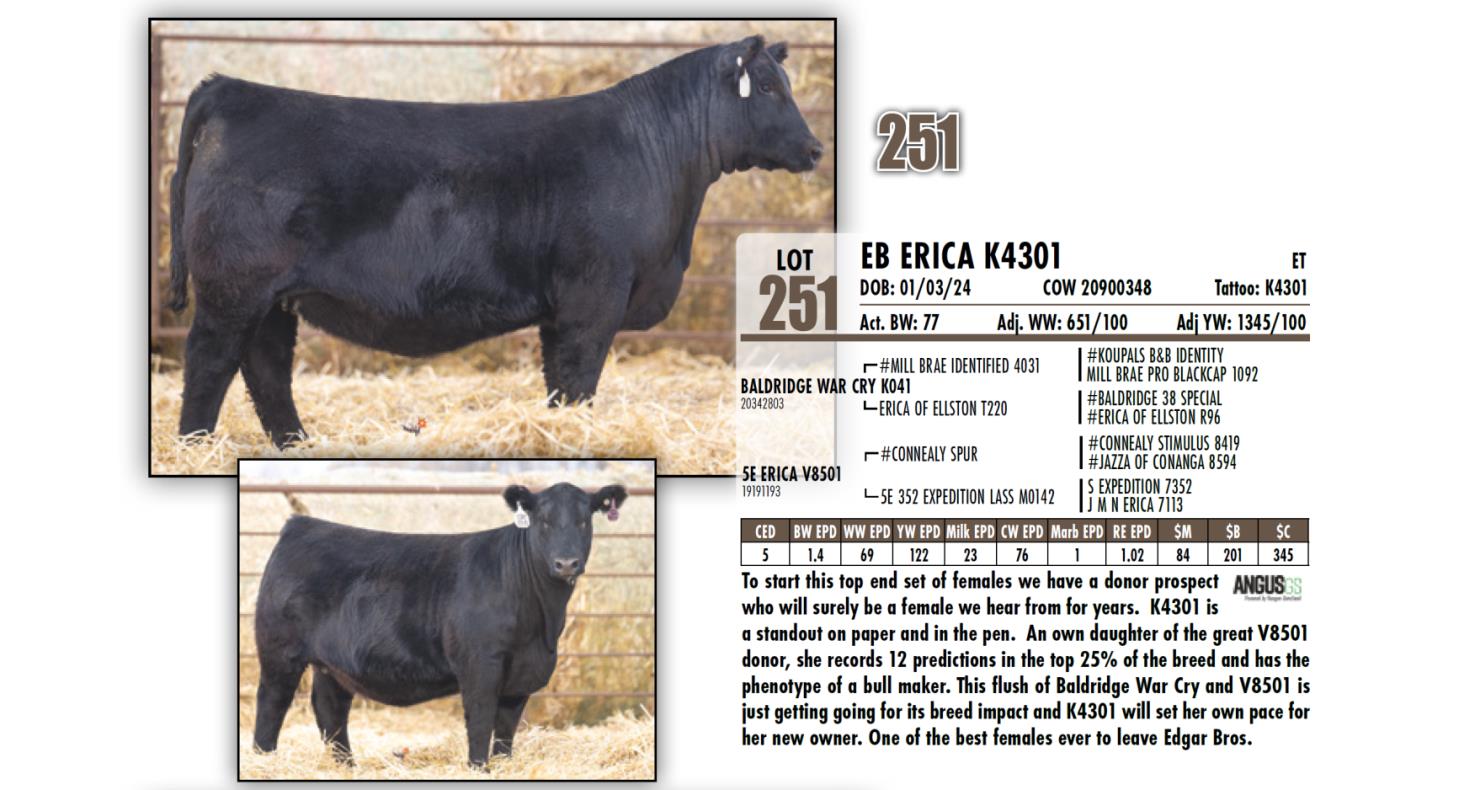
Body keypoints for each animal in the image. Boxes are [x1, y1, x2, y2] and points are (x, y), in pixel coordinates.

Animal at [167, 35, 823, 448]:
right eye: (768, 87)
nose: (816, 148)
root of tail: (231, 88)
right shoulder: (595, 292)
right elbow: (579, 372)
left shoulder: (565, 304)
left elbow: (560, 378)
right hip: (233, 290)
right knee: (210, 362)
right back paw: (195, 445)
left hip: (273, 299)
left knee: (266, 370)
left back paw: (298, 445)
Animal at [250, 482, 630, 767]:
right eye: (544, 521)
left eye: (584, 520)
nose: (566, 563)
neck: (541, 627)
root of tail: (300, 525)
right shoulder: (480, 665)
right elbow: (480, 722)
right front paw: (478, 768)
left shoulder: (523, 675)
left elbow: (506, 732)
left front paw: (501, 766)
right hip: (279, 652)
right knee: (272, 703)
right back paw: (264, 759)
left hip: (332, 664)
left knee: (331, 710)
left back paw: (346, 767)